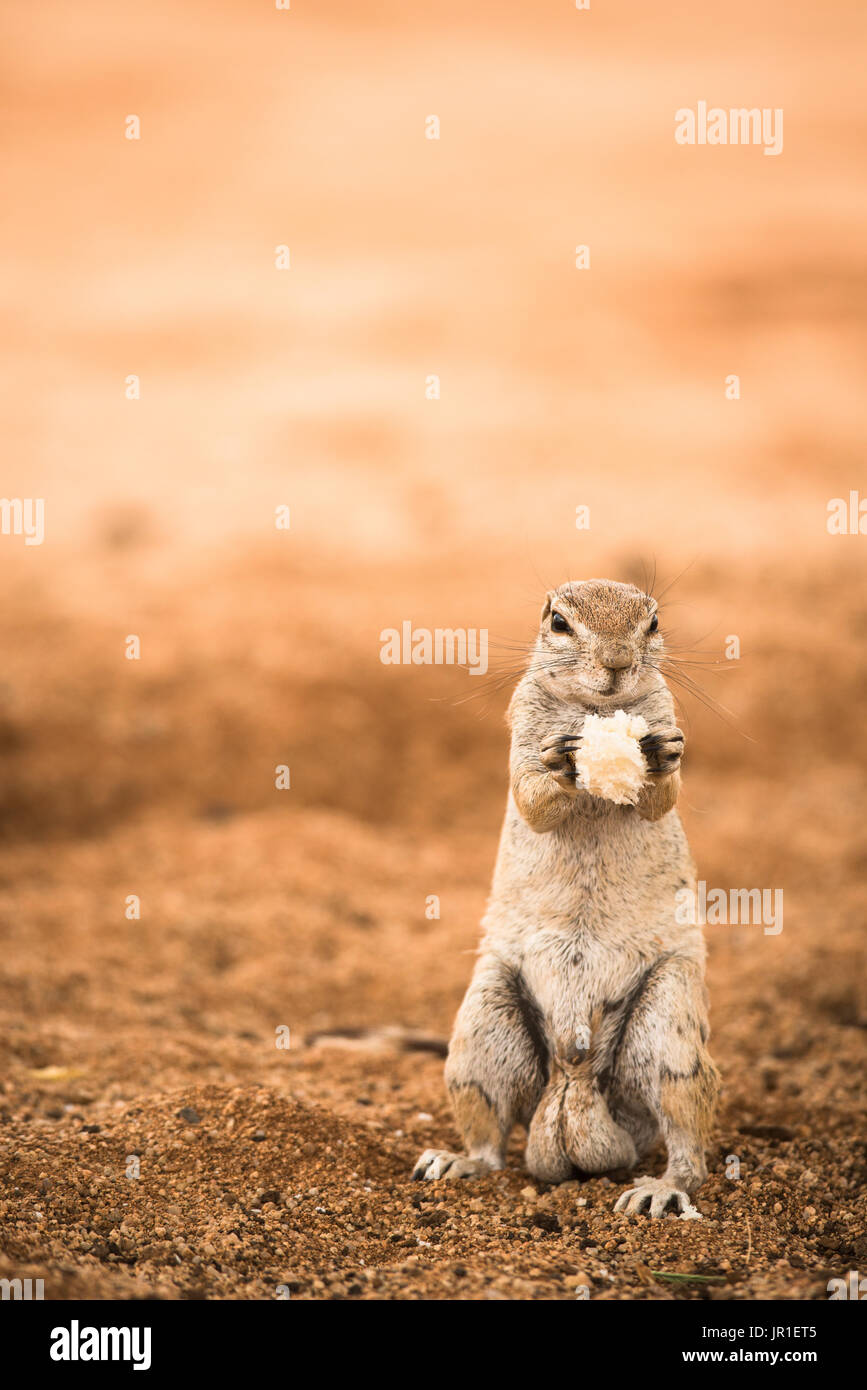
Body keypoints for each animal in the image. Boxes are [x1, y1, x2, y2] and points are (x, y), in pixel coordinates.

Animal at [412, 578, 720, 1218]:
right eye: (558, 622)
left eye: (654, 623)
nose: (618, 663)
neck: (596, 713)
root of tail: (573, 1072)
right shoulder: (524, 724)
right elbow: (532, 795)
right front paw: (560, 764)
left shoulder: (663, 710)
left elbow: (662, 797)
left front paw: (662, 758)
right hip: (481, 1032)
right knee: (490, 1139)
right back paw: (456, 1161)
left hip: (671, 1025)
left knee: (688, 1144)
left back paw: (663, 1188)